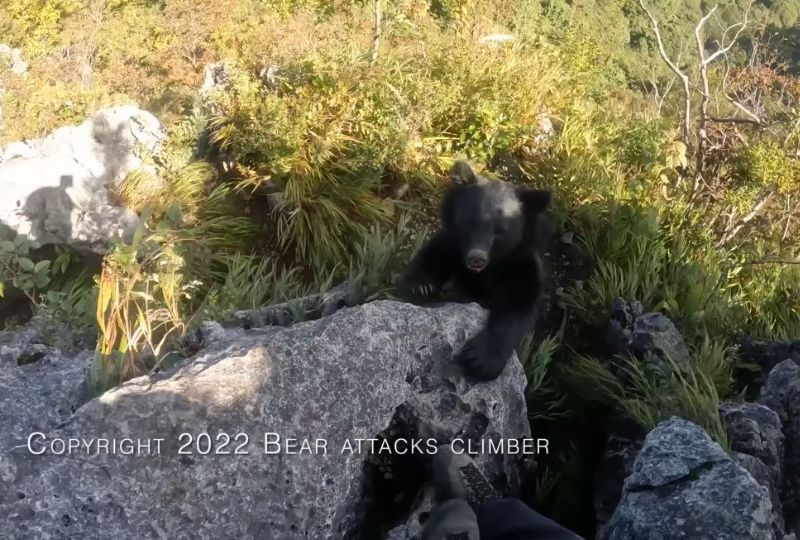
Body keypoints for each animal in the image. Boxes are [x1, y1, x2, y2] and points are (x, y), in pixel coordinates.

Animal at [396, 160, 551, 381]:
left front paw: (479, 360)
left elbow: (520, 300)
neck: (490, 267)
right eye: (470, 222)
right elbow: (434, 256)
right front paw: (420, 286)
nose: (476, 257)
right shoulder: (452, 243)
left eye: (500, 231)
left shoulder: (522, 260)